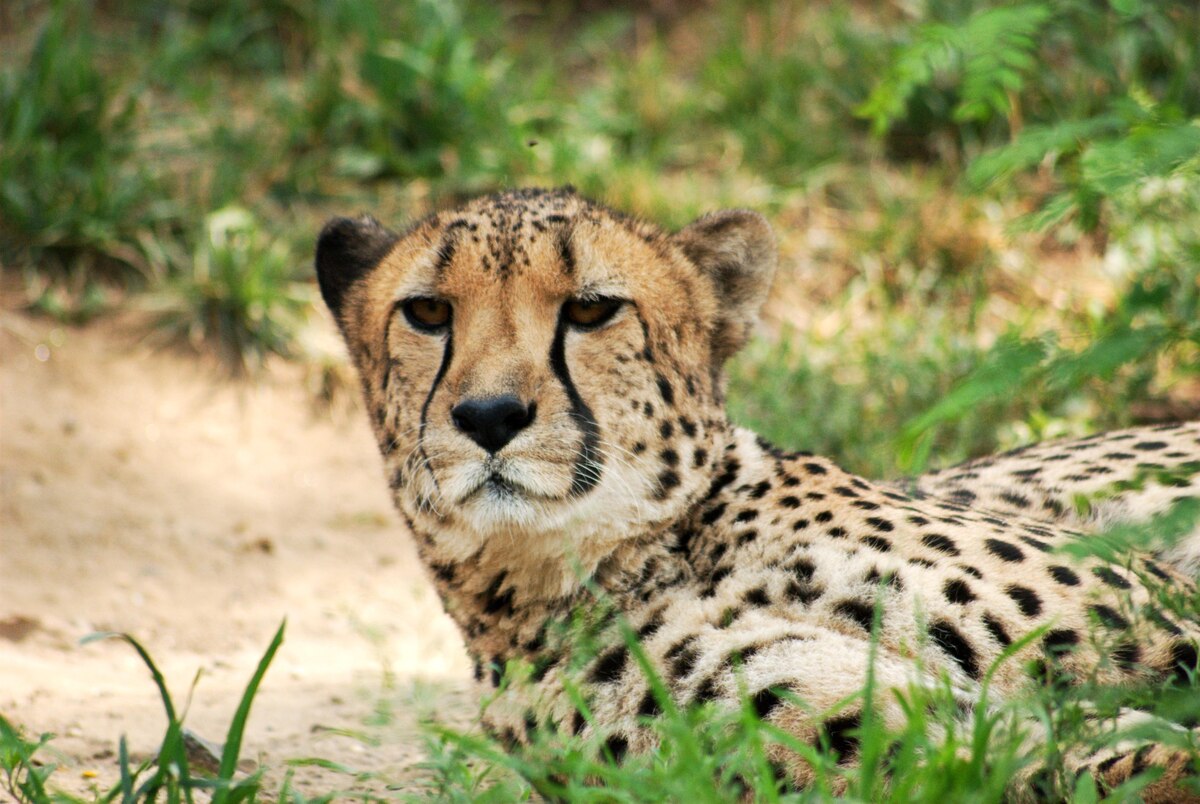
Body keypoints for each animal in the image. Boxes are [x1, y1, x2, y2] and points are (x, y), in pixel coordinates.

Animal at [315, 187, 1200, 800]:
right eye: (428, 311)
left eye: (592, 310)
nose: (489, 416)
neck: (650, 556)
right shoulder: (884, 741)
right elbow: (1070, 762)